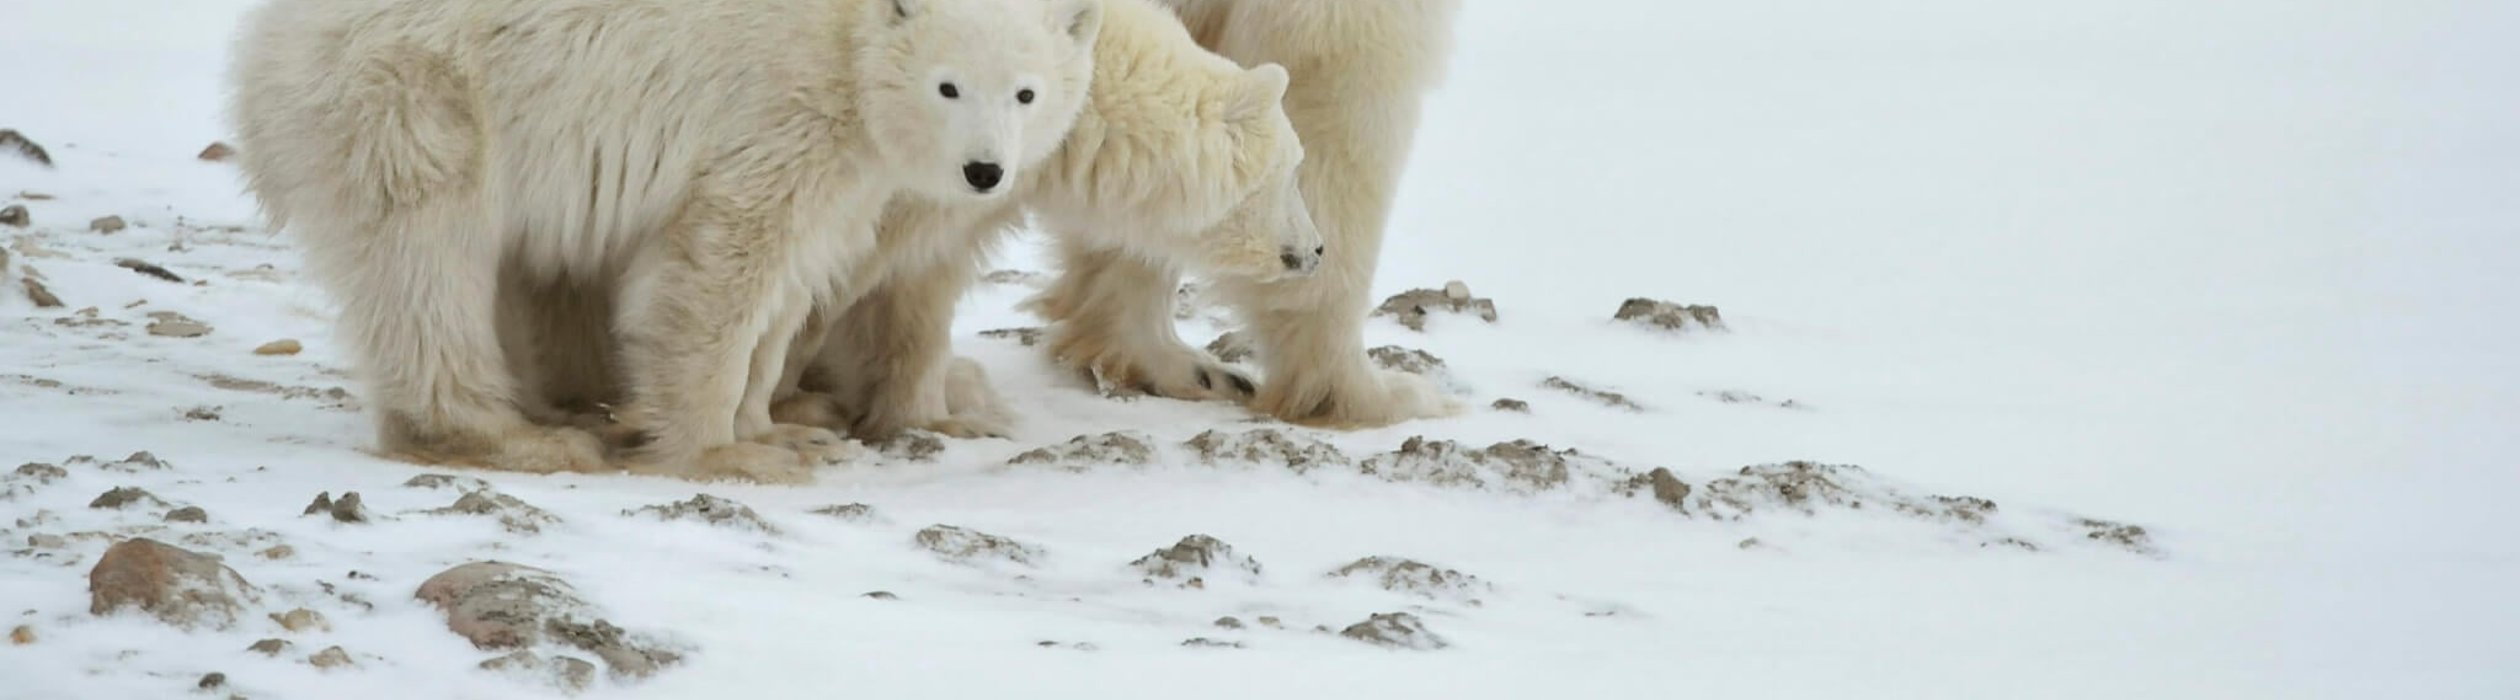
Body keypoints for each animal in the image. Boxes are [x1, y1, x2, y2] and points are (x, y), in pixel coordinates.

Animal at [226, 0, 1102, 482]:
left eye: (1027, 92)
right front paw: (726, 453)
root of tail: (265, 45)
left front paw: (783, 431)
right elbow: (724, 259)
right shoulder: (778, 112)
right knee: (429, 264)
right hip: (422, 98)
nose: (985, 170)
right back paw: (517, 439)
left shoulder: (847, 169)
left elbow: (790, 279)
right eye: (947, 84)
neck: (842, 39)